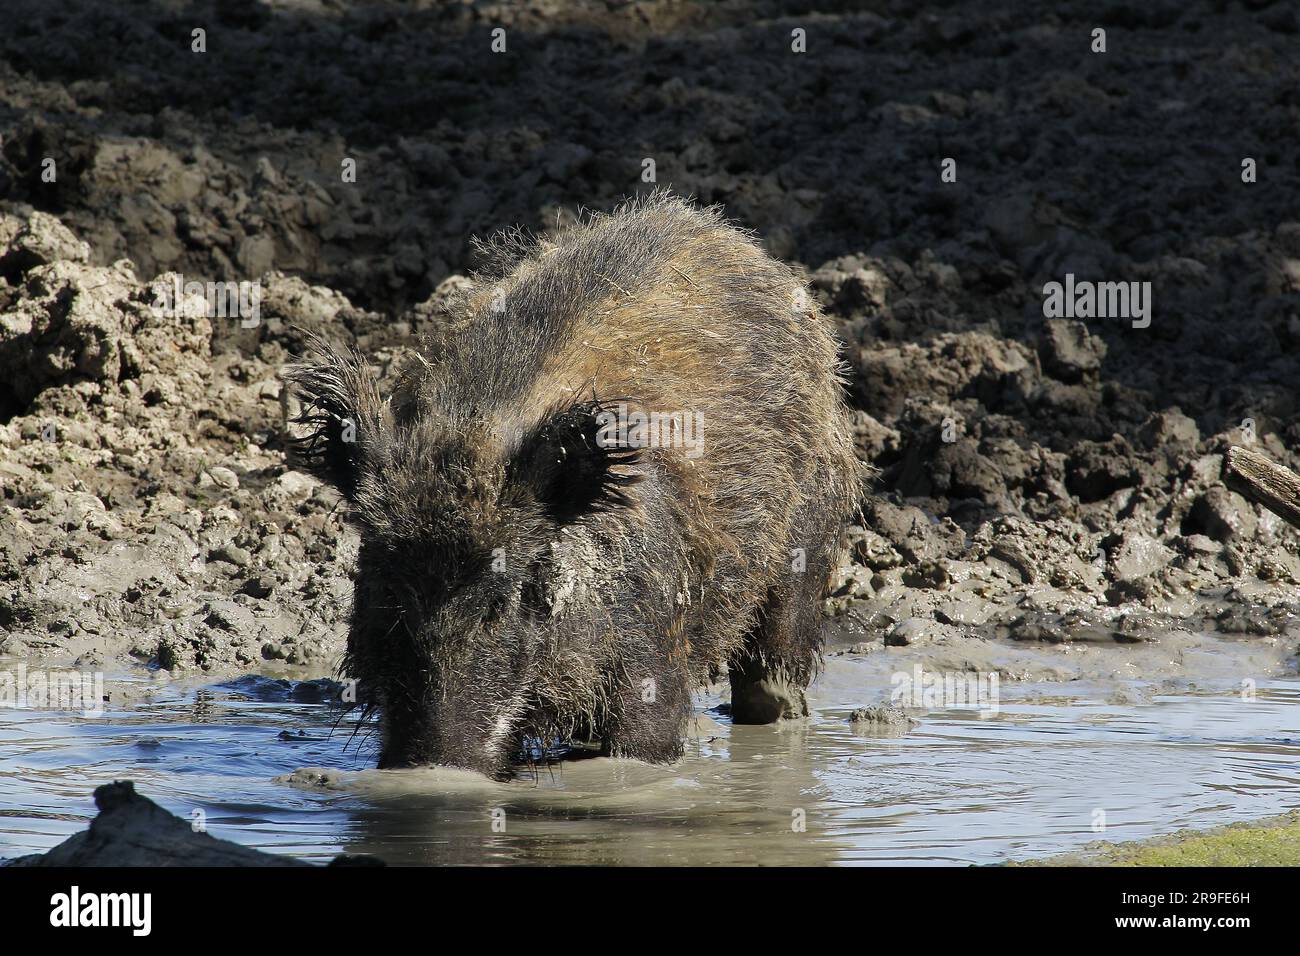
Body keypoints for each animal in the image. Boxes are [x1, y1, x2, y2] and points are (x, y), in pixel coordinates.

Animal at [283, 192, 866, 777]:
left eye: (506, 599)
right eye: (389, 590)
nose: (434, 768)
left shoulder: (651, 653)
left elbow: (645, 746)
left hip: (812, 527)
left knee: (775, 669)